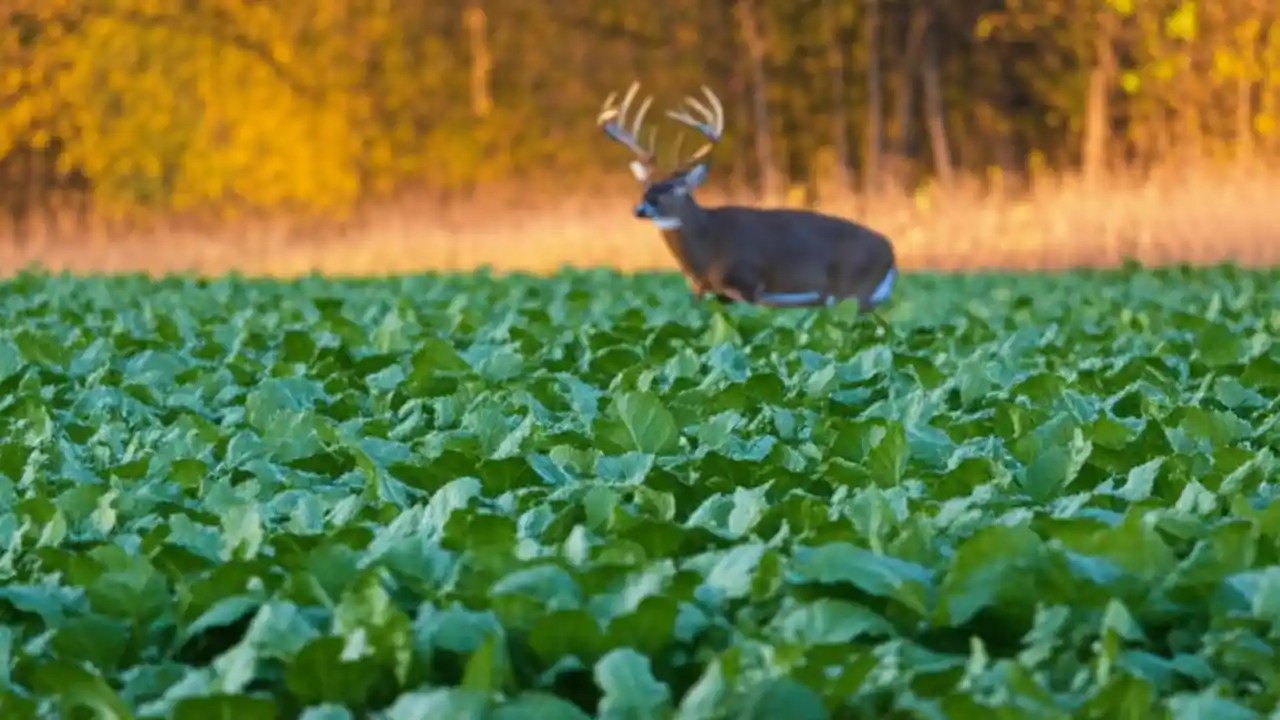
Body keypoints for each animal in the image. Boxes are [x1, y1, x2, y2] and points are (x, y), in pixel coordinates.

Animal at [597, 81, 898, 312]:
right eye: (646, 186)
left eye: (676, 187)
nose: (641, 208)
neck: (706, 252)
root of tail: (891, 253)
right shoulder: (705, 293)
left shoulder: (748, 284)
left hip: (855, 292)